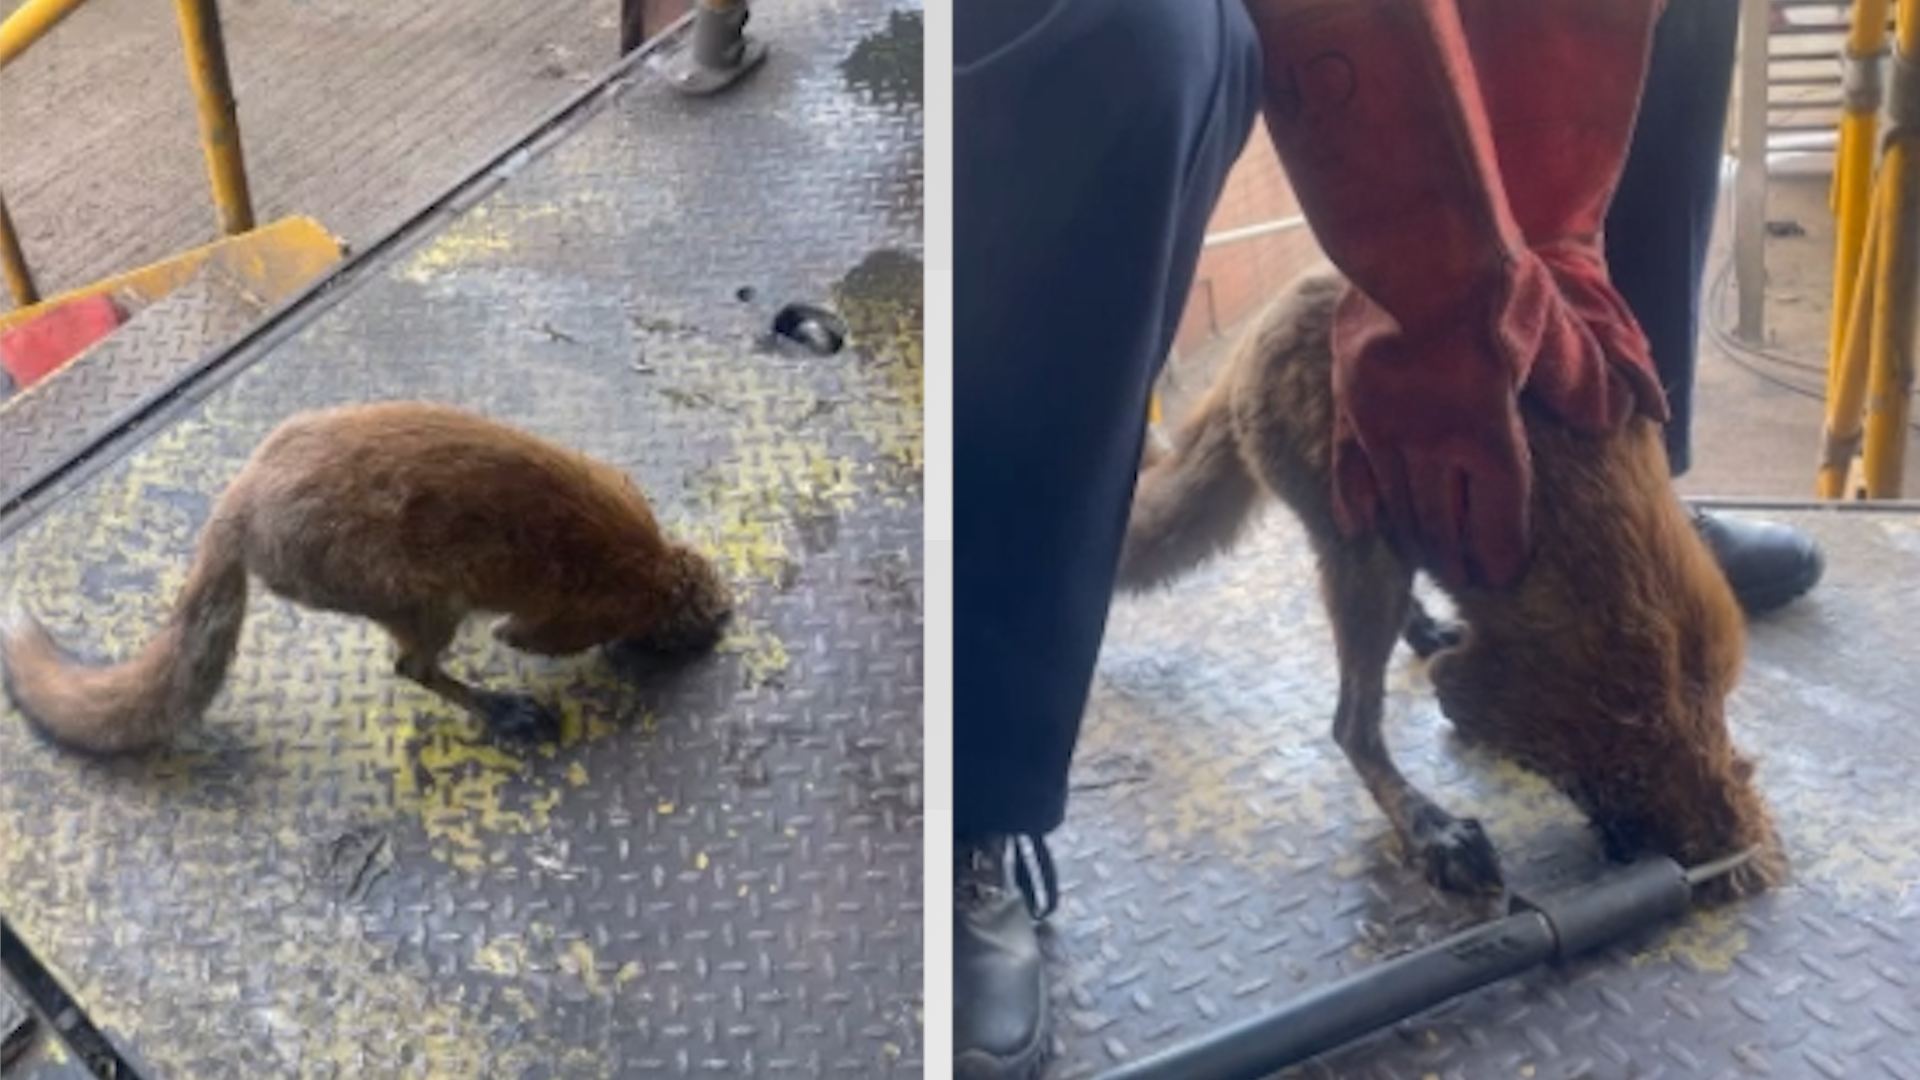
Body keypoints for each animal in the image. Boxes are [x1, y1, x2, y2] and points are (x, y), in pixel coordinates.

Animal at [0, 401, 735, 756]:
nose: (725, 630)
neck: (648, 560)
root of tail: (239, 501)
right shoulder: (565, 621)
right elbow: (524, 637)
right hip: (427, 602)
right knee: (414, 669)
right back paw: (500, 709)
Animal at [1117, 267, 1786, 904]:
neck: (1676, 684)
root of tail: (1262, 325)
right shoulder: (1501, 693)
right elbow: (1455, 701)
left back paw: (1424, 632)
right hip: (1363, 543)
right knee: (1351, 727)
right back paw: (1429, 828)